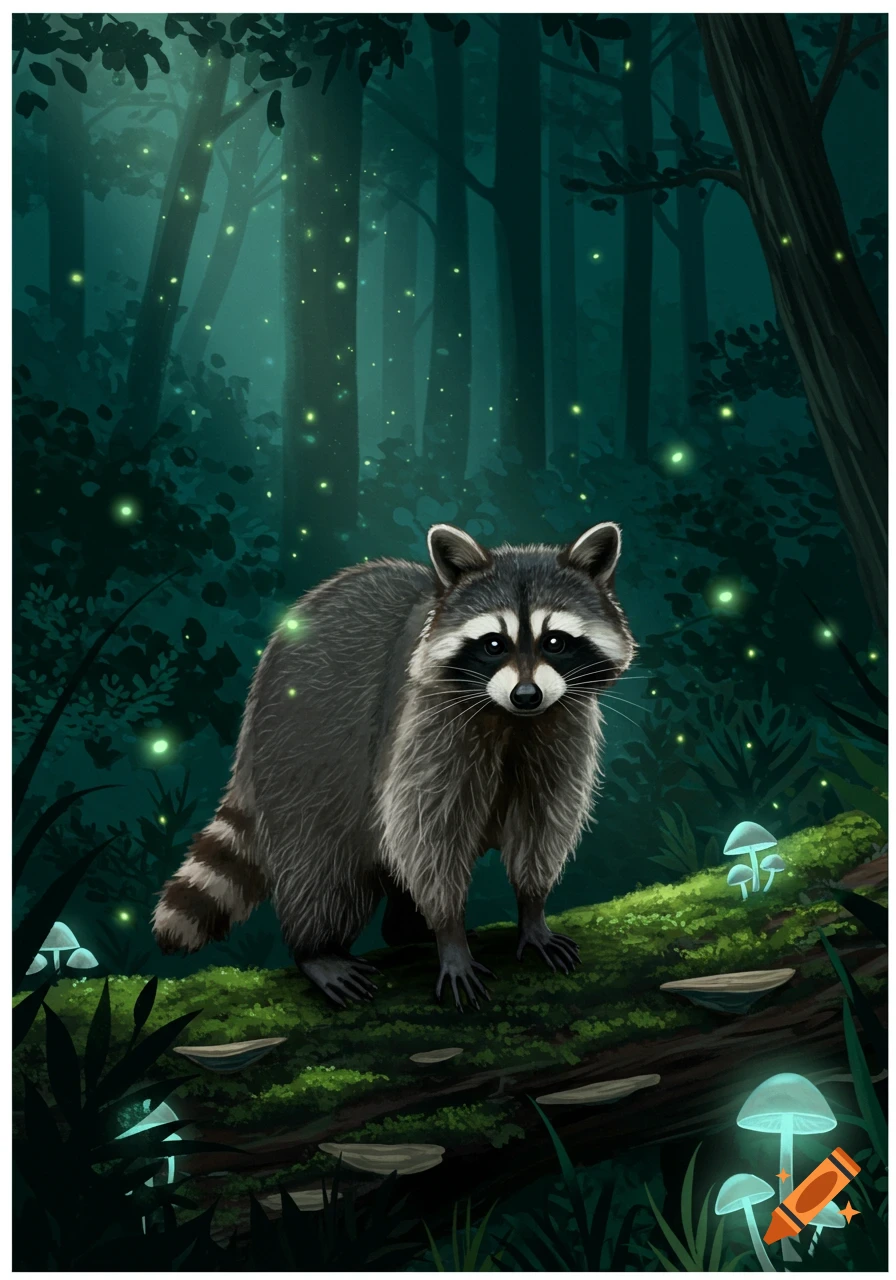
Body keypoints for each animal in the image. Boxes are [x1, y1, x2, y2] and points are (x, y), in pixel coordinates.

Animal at [152, 521, 636, 1011]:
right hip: (301, 750)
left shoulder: (561, 727)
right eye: (493, 644)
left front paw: (532, 909)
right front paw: (449, 934)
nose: (526, 695)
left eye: (555, 641)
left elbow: (542, 822)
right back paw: (315, 949)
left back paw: (405, 926)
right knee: (324, 862)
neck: (512, 720)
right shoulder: (425, 720)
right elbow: (428, 834)